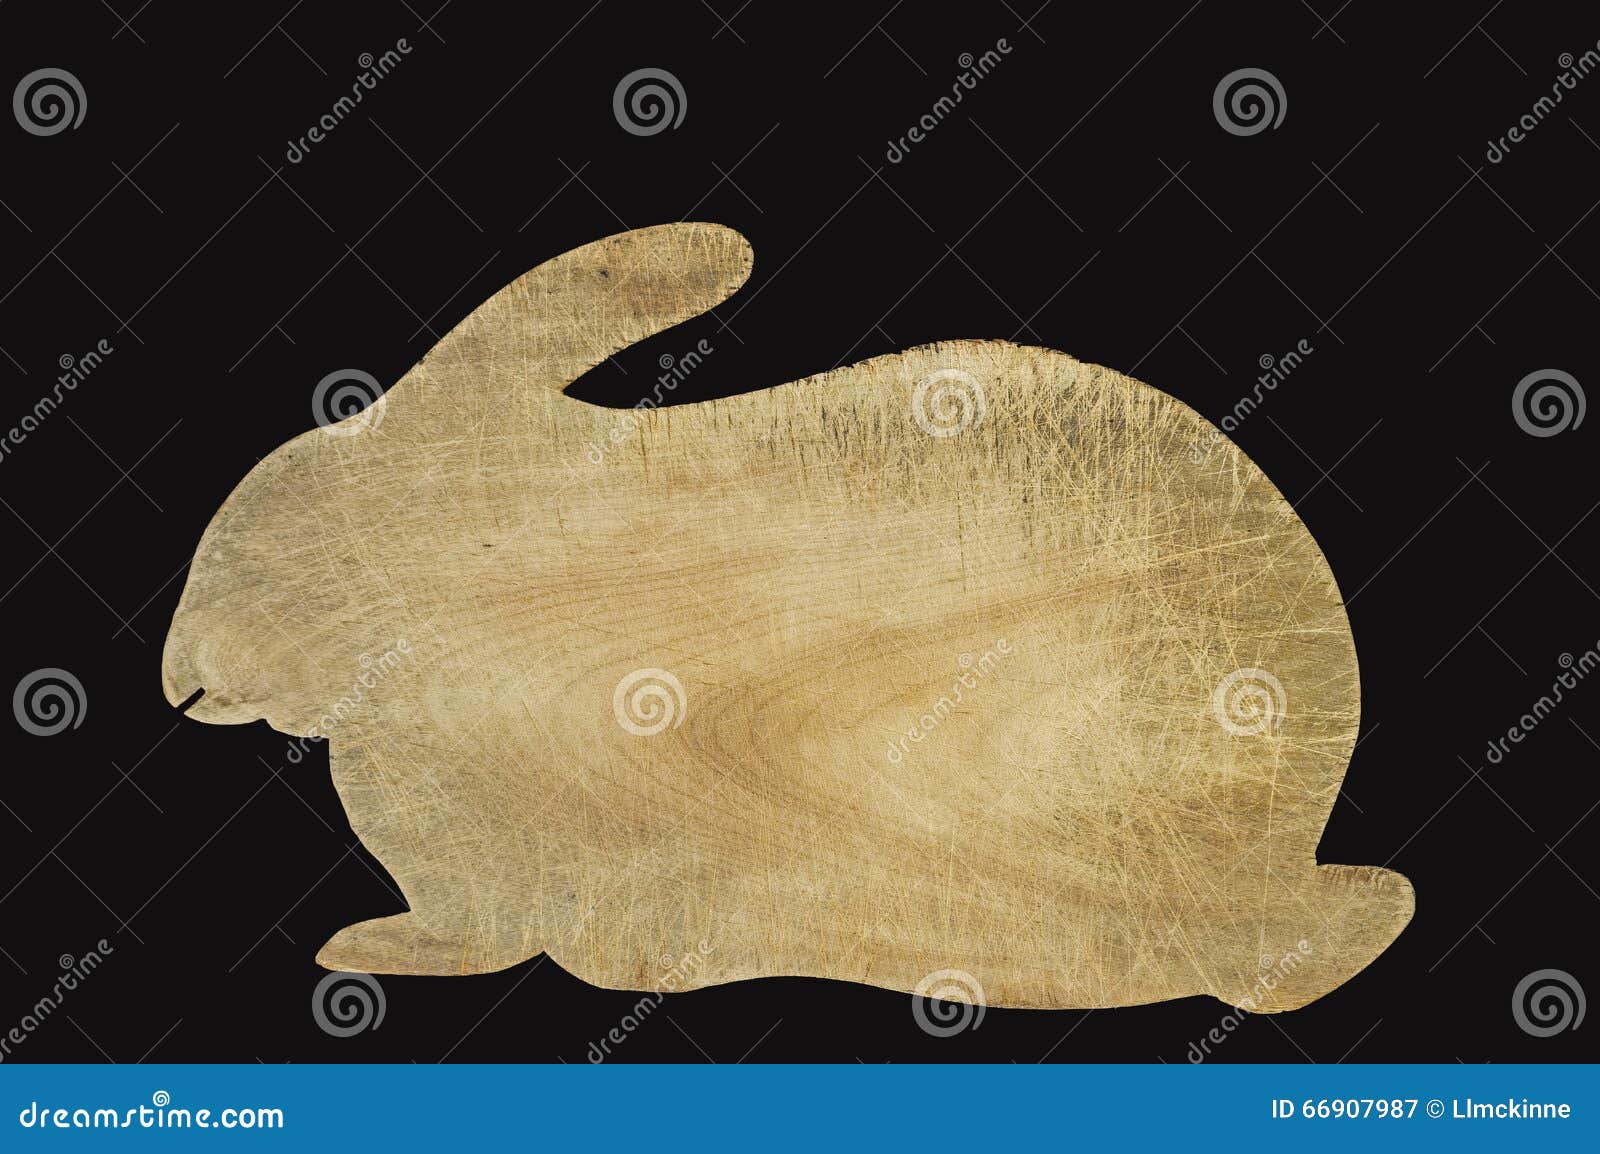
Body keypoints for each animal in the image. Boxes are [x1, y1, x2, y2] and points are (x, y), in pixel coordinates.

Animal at [163, 222, 1412, 1012]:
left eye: (278, 551)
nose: (177, 678)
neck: (431, 591)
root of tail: (1278, 869)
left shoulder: (484, 871)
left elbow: (466, 931)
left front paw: (359, 947)